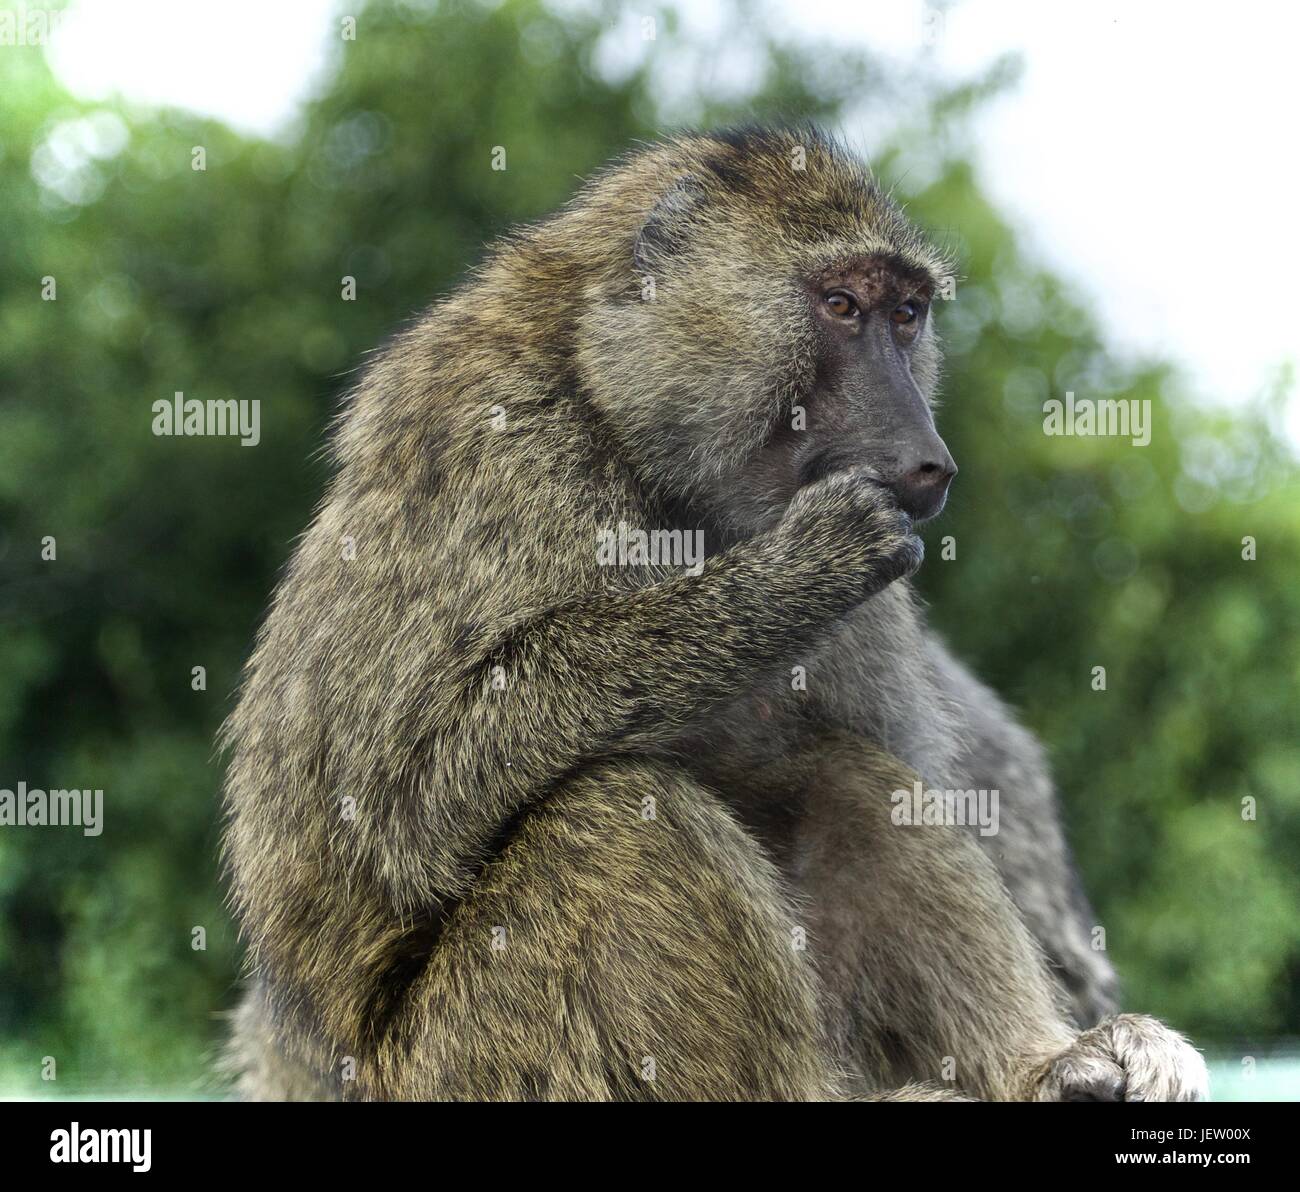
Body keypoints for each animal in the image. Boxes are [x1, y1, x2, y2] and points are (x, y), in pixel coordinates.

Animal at [220, 127, 1207, 1101]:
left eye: (907, 313)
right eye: (841, 305)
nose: (927, 460)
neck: (612, 406)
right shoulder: (493, 445)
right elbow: (399, 808)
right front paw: (792, 574)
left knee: (841, 777)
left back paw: (1047, 1070)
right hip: (472, 1062)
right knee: (611, 813)